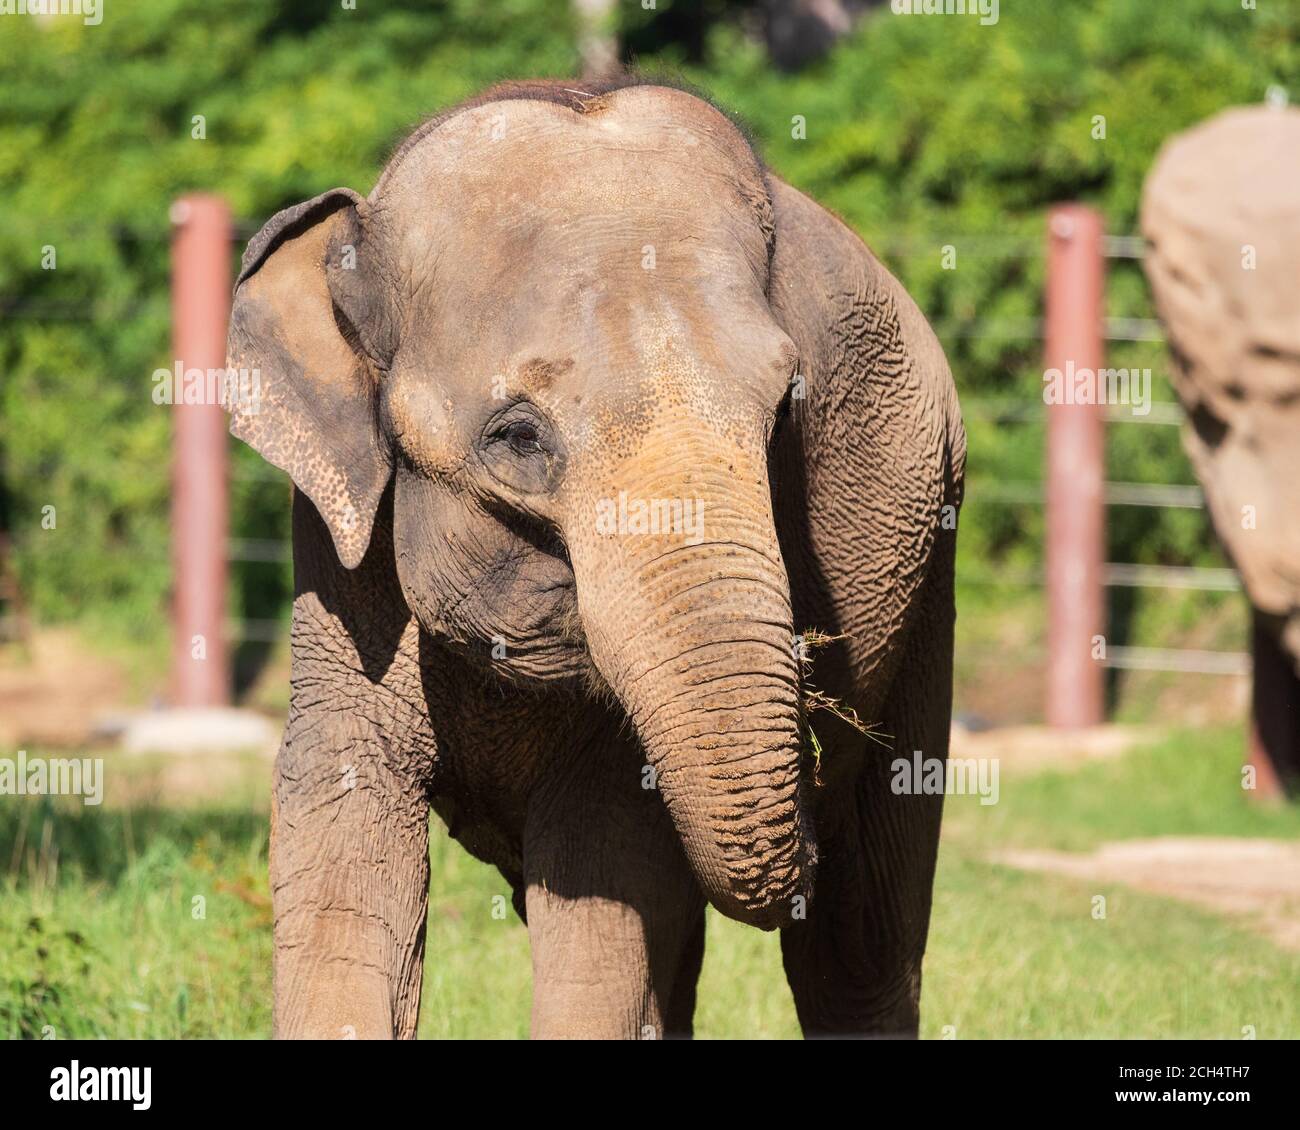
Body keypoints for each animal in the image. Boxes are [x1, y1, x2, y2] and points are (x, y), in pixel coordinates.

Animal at [226, 77, 965, 1039]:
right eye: (519, 436)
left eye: (784, 415)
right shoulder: (338, 548)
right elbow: (343, 818)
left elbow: (603, 860)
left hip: (931, 549)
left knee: (860, 931)